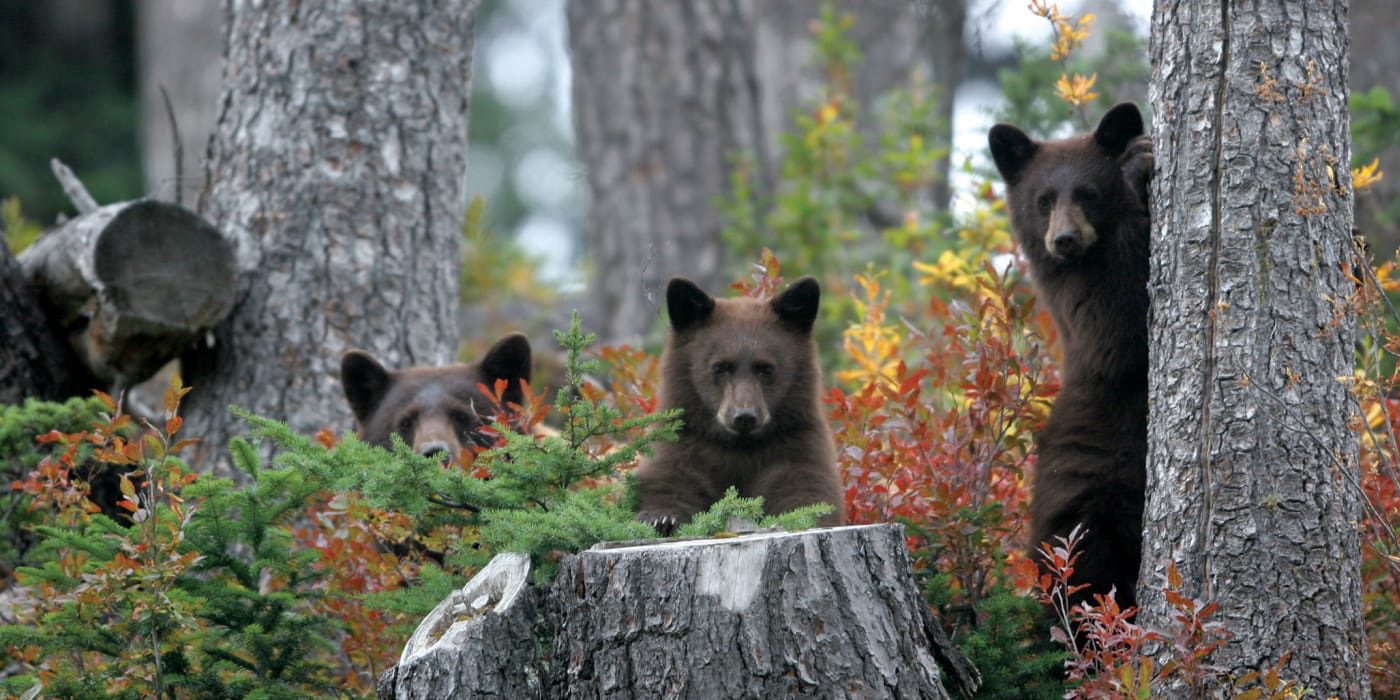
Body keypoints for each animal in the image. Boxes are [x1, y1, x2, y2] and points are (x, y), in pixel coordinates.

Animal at [633, 276, 846, 534]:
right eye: (720, 367)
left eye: (766, 368)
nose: (744, 416)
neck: (738, 448)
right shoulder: (682, 442)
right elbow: (671, 479)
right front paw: (661, 518)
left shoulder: (798, 444)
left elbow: (805, 490)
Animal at [988, 101, 1153, 612]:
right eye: (1043, 199)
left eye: (1087, 193)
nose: (1062, 239)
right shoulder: (1070, 298)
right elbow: (1116, 329)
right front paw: (1137, 167)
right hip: (1080, 492)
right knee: (1081, 574)